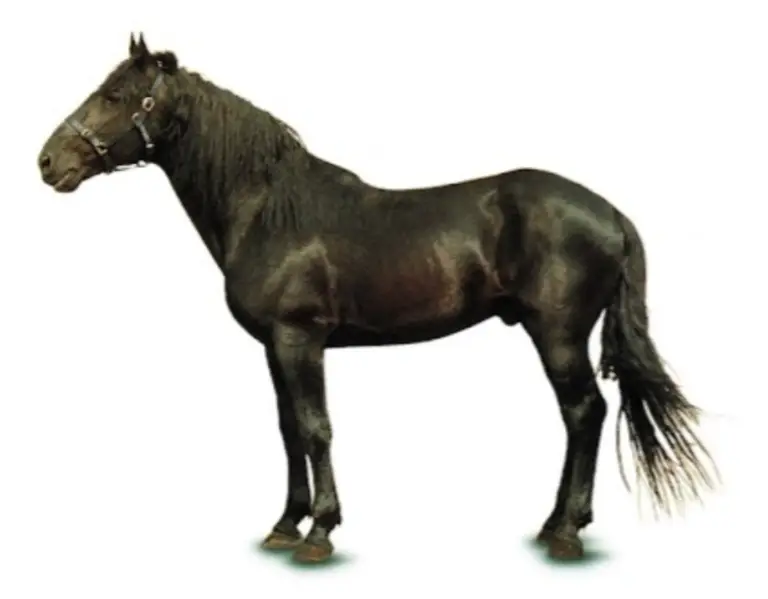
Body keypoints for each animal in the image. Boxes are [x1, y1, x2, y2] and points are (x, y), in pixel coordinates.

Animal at [37, 33, 716, 564]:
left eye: (116, 95)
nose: (47, 162)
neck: (266, 211)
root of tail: (610, 212)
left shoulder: (301, 338)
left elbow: (316, 428)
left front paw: (320, 532)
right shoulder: (274, 347)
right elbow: (287, 428)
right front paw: (285, 525)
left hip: (558, 334)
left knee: (584, 413)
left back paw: (566, 532)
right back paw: (554, 524)